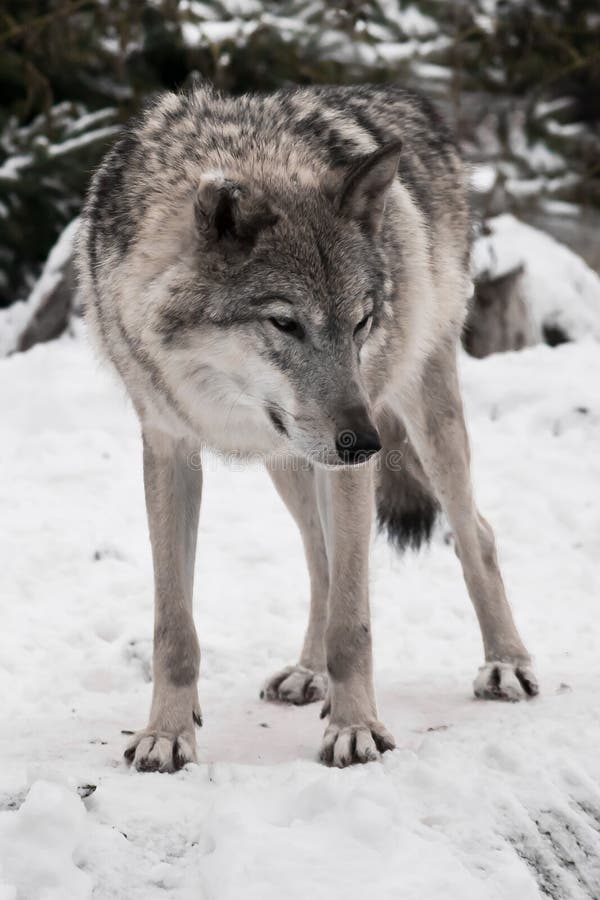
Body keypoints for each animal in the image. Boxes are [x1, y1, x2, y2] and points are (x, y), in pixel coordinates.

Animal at [76, 83, 537, 772]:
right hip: (294, 460)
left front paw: (356, 728)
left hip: (421, 415)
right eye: (285, 323)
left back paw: (506, 663)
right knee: (319, 559)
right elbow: (173, 627)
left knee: (473, 534)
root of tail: (406, 101)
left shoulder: (350, 465)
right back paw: (308, 672)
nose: (367, 442)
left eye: (361, 322)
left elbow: (354, 621)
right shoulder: (168, 446)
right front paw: (166, 734)